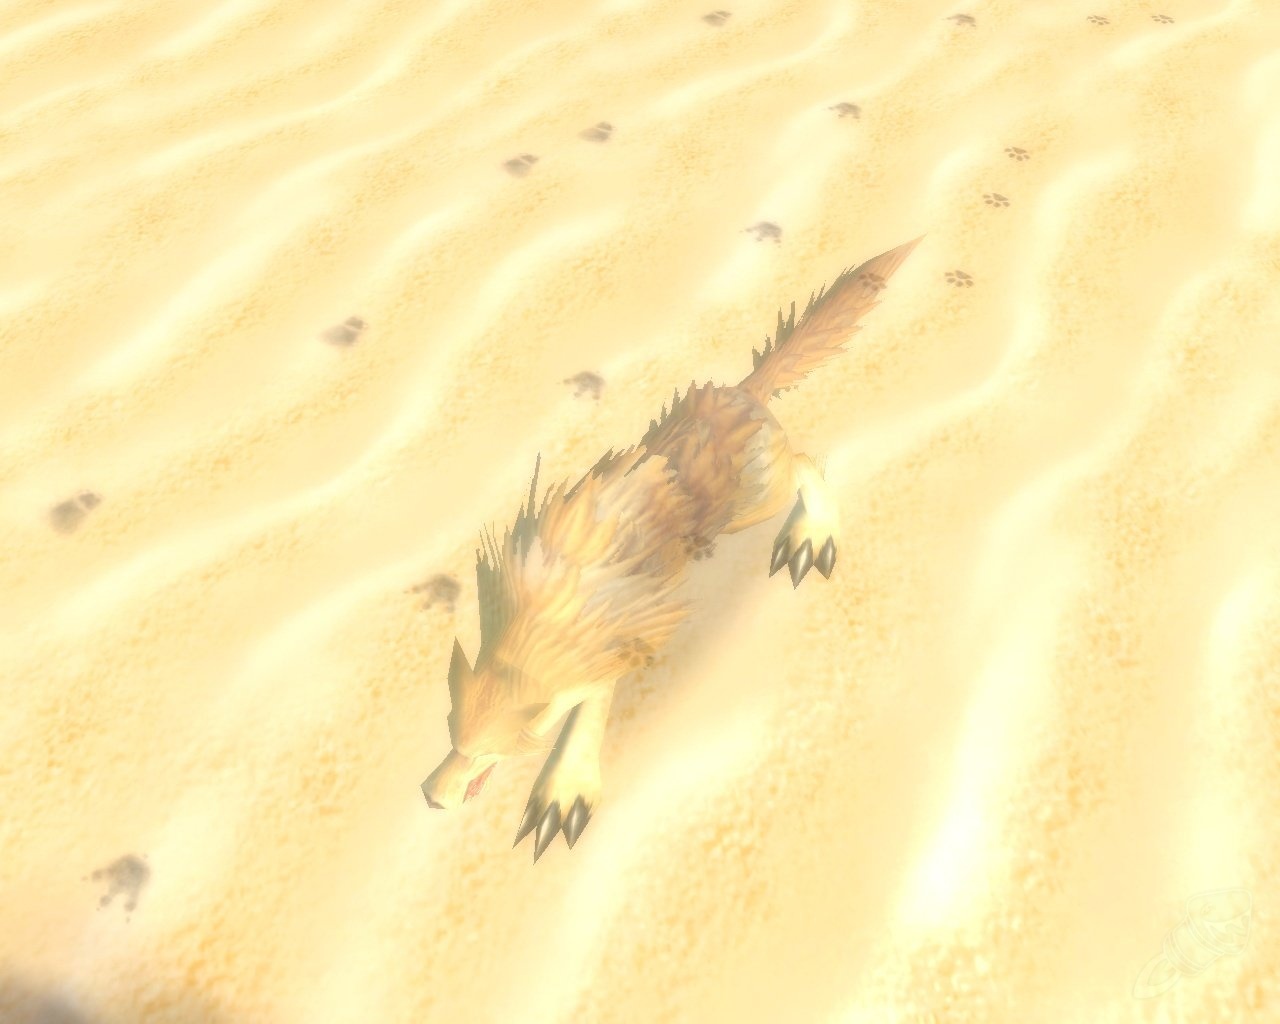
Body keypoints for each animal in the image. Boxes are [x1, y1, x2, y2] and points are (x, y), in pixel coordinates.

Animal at [420, 237, 923, 861]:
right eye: (450, 735)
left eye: (490, 751)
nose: (429, 795)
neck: (541, 624)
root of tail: (741, 395)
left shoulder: (614, 642)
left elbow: (586, 717)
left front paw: (562, 794)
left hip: (757, 500)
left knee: (806, 463)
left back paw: (812, 534)